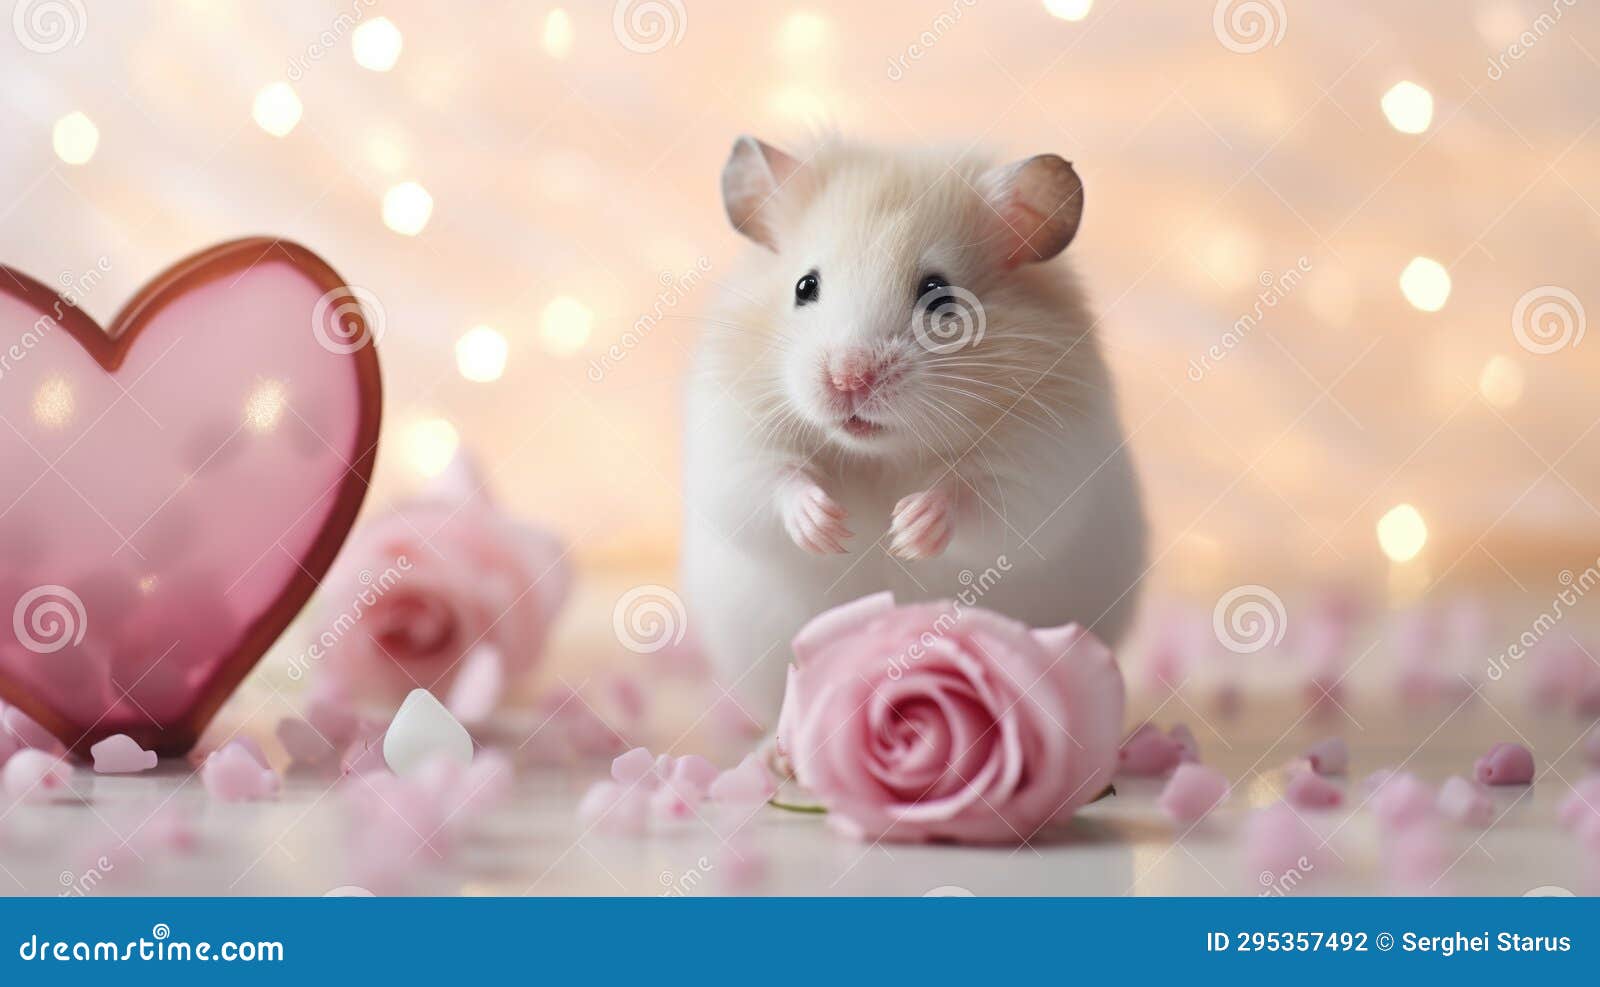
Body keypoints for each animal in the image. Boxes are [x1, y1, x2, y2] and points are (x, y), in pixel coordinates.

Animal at [681, 137, 1146, 717]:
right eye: (804, 285)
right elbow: (769, 484)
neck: (881, 455)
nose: (847, 378)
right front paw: (831, 528)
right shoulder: (730, 440)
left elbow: (976, 498)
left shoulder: (1042, 464)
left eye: (939, 295)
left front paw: (906, 530)